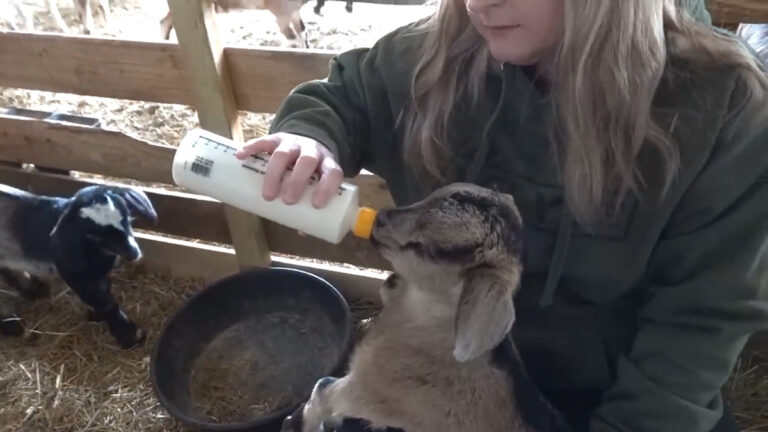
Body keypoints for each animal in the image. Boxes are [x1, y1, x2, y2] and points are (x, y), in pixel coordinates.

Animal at [0, 184, 157, 349]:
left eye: (126, 217)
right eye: (95, 235)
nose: (132, 253)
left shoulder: (98, 273)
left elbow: (105, 291)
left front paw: (97, 316)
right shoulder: (74, 274)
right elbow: (105, 302)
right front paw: (132, 336)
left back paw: (35, 291)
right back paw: (11, 324)